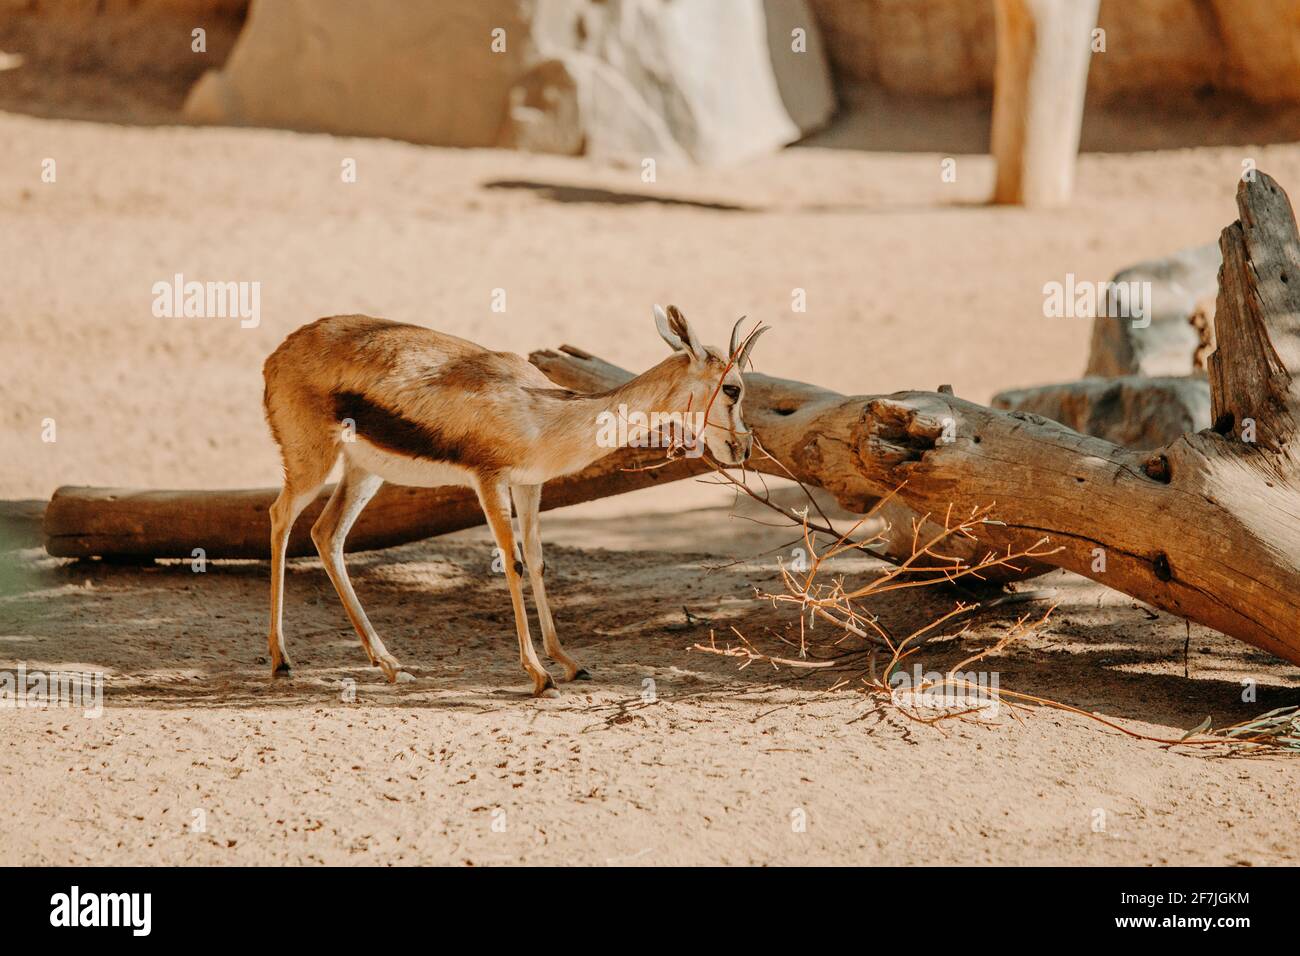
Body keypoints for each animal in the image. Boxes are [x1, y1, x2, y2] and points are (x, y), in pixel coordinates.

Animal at [262, 305, 767, 697]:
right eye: (732, 388)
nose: (743, 449)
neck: (543, 411)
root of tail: (279, 352)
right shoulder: (489, 481)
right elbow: (514, 563)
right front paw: (539, 675)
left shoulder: (529, 485)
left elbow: (539, 563)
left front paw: (569, 662)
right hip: (313, 464)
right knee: (280, 517)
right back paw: (281, 660)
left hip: (364, 471)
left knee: (326, 535)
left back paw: (389, 664)